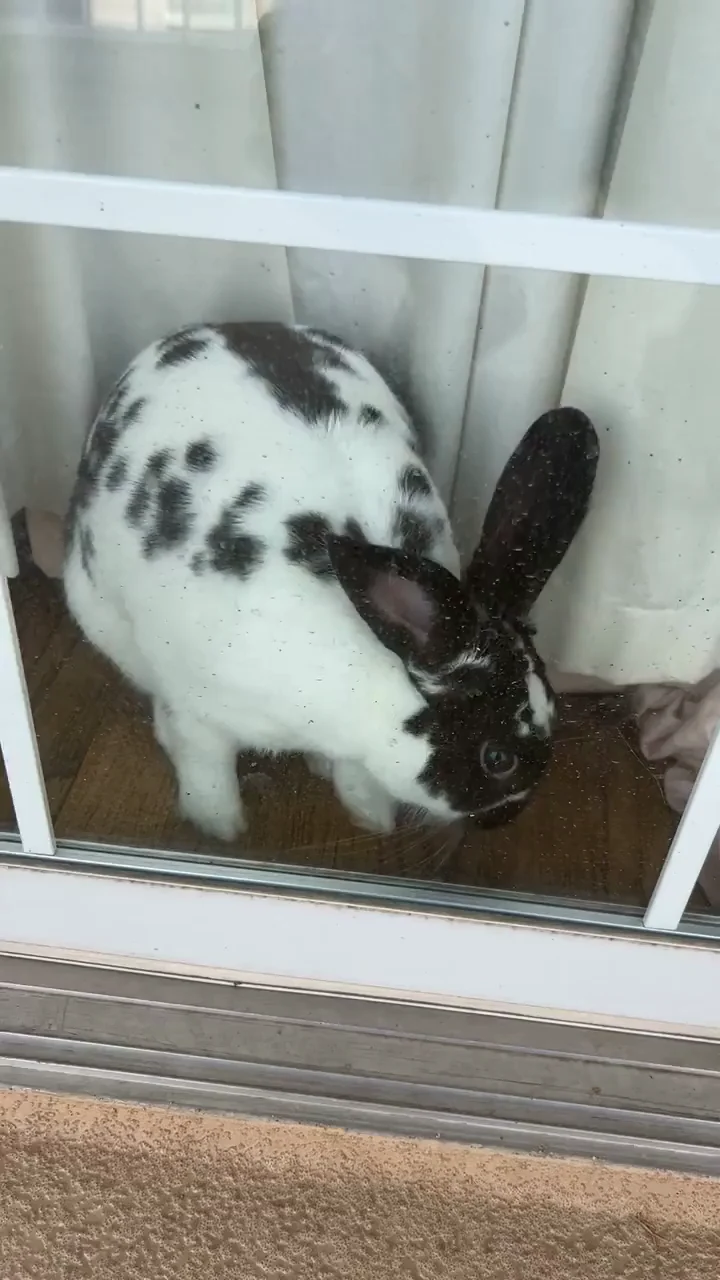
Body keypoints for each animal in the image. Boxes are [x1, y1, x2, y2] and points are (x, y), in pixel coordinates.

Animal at [64, 321, 598, 841]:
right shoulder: (199, 711)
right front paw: (219, 829)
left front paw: (369, 818)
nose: (506, 817)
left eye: (555, 711)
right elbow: (206, 766)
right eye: (497, 758)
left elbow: (354, 773)